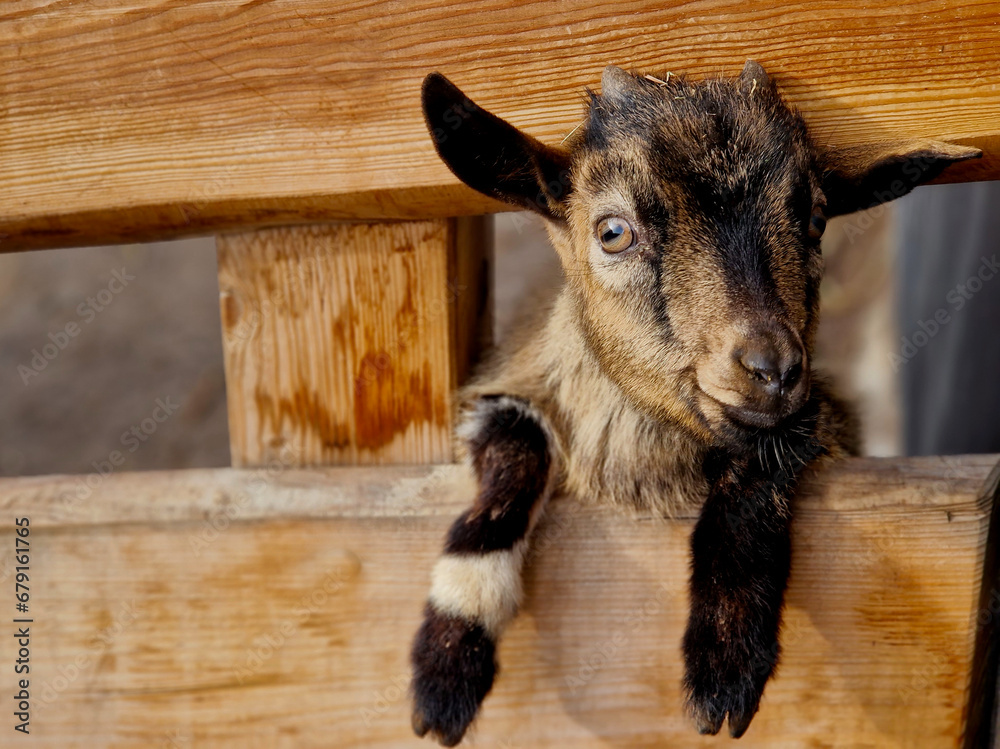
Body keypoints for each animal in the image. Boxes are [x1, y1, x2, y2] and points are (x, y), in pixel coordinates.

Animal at [409, 61, 979, 745]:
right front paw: (446, 665)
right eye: (612, 231)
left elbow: (759, 465)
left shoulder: (814, 420)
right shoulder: (510, 386)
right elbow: (512, 454)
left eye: (815, 219)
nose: (772, 369)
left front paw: (725, 659)